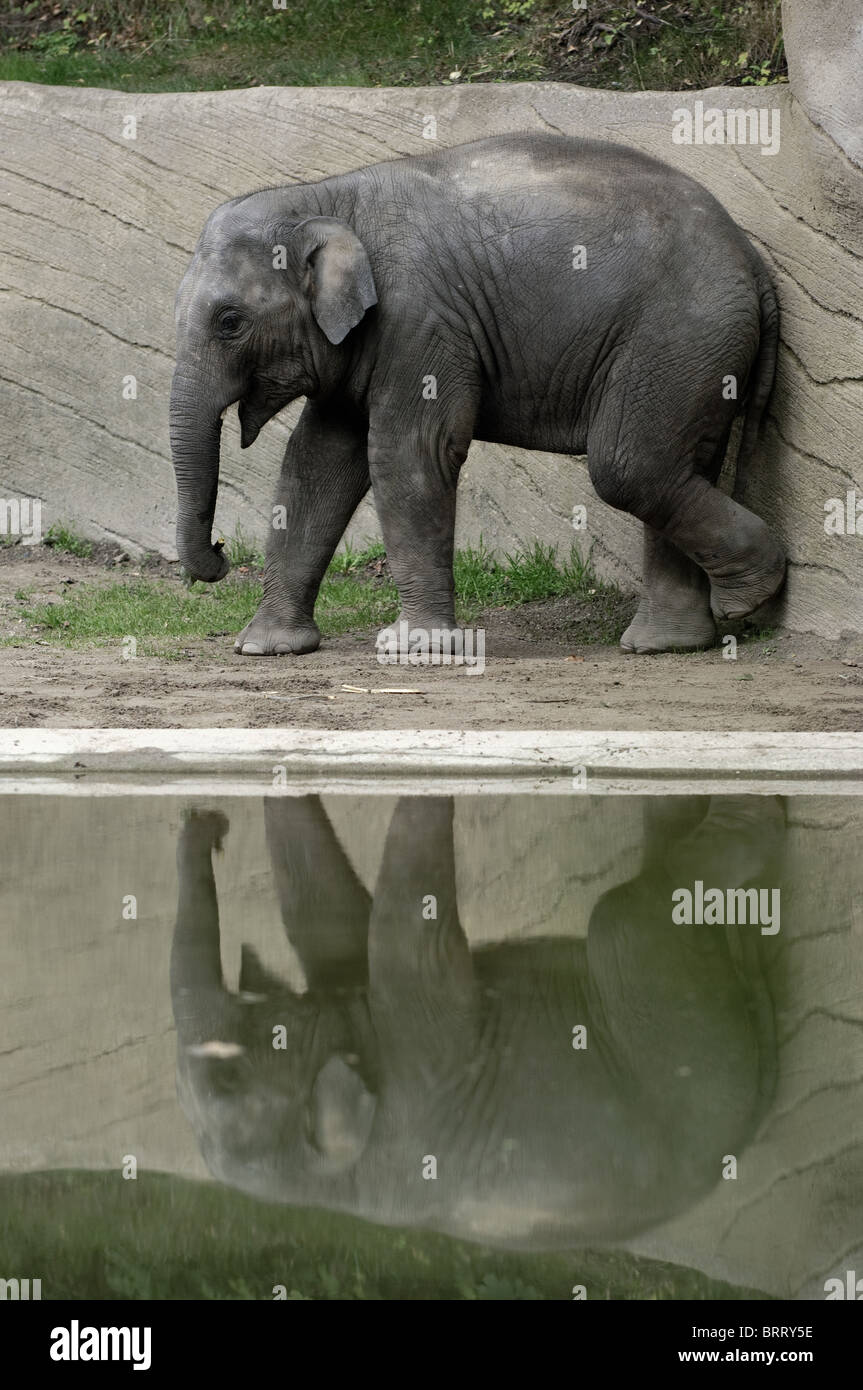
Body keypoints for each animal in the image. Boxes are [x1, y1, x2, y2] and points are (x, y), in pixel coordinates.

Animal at [169, 131, 785, 658]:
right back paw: (668, 642)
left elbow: (409, 452)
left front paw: (413, 647)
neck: (325, 196)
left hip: (679, 334)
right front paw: (265, 648)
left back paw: (749, 593)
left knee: (629, 465)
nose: (221, 554)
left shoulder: (422, 319)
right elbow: (317, 461)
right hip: (699, 354)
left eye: (229, 322)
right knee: (678, 463)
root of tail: (755, 263)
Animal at [170, 793, 785, 1249]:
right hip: (687, 1040)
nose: (213, 825)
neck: (323, 1180)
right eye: (229, 1080)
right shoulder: (422, 1066)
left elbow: (324, 912)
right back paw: (747, 813)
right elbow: (401, 929)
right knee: (622, 915)